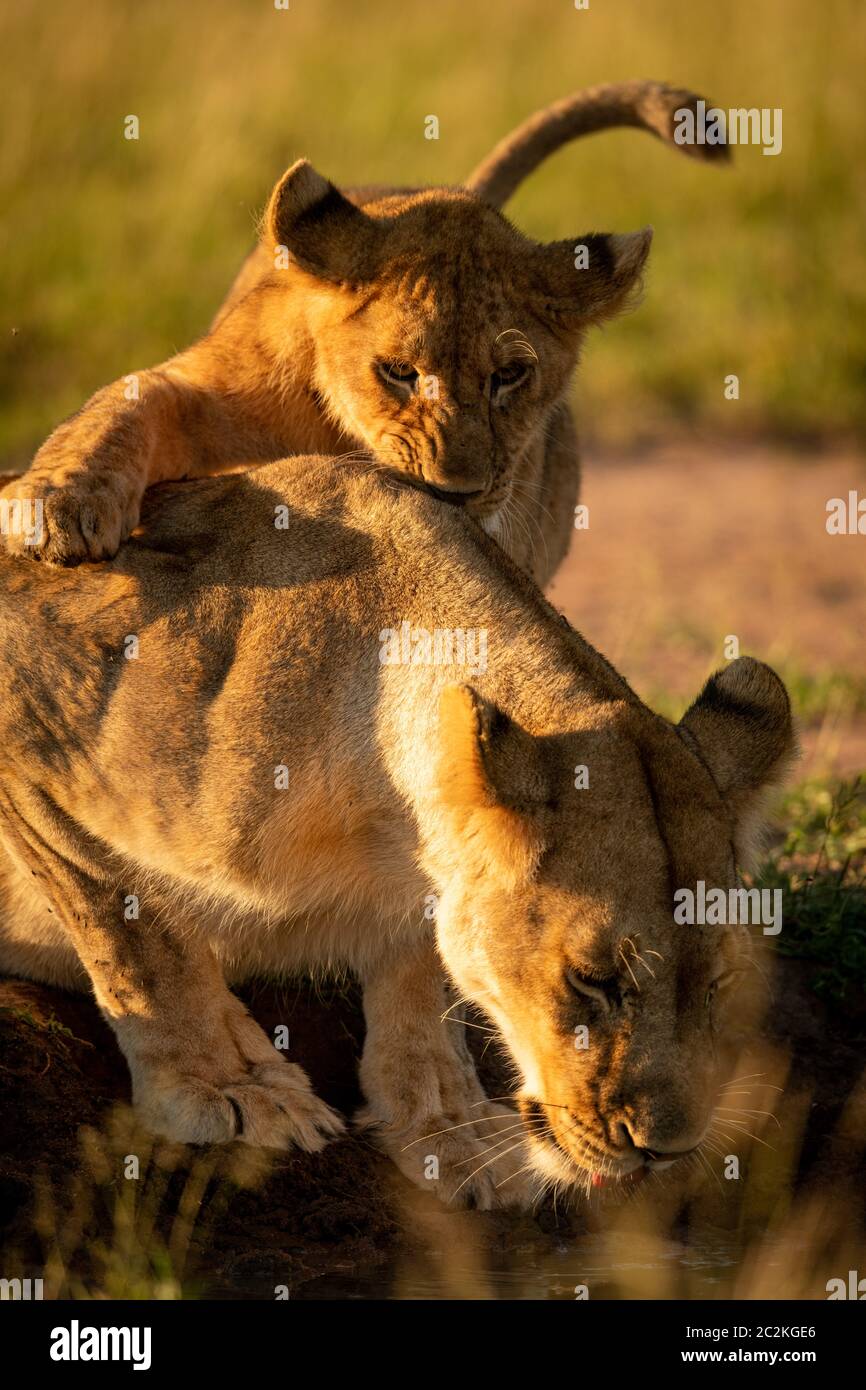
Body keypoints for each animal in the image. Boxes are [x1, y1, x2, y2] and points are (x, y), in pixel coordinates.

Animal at [0, 455, 793, 1206]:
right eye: (591, 982)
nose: (664, 1151)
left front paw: (449, 1123)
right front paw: (230, 1088)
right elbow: (136, 937)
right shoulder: (36, 724)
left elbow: (424, 969)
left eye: (719, 983)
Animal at [2, 81, 727, 581]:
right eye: (399, 373)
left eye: (511, 376)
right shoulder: (213, 386)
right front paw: (58, 505)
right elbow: (128, 401)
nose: (456, 496)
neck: (345, 433)